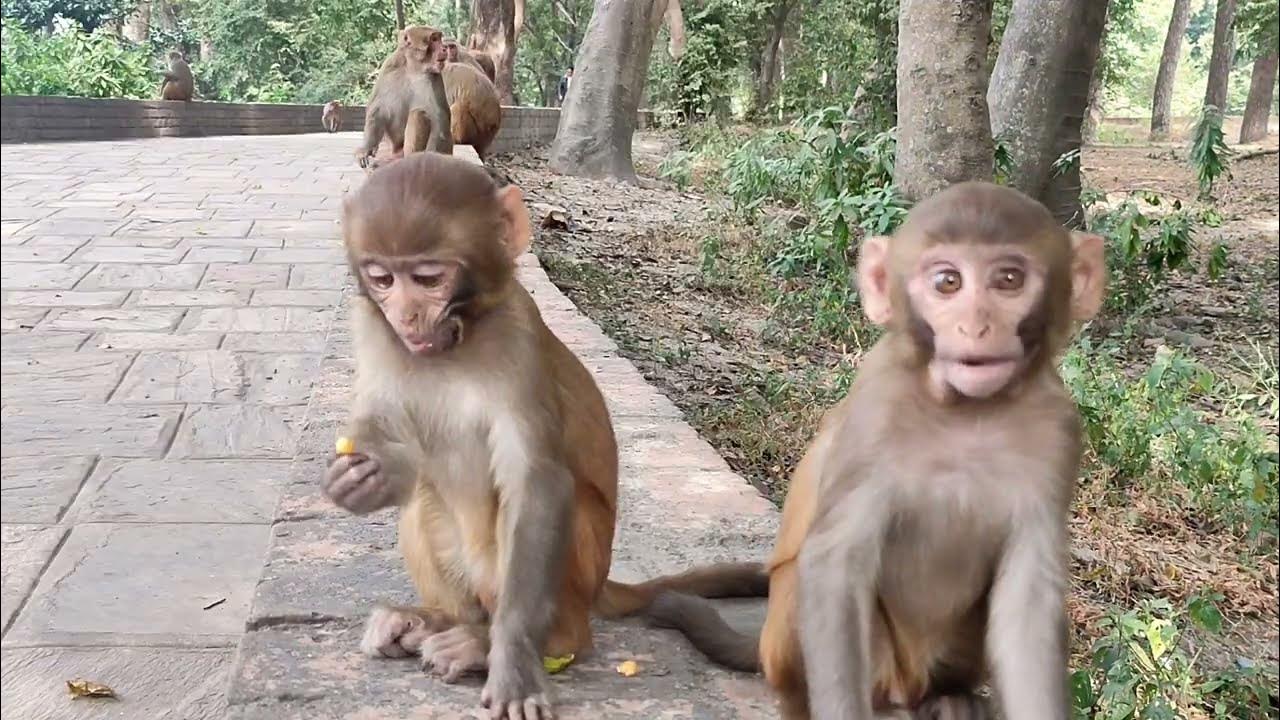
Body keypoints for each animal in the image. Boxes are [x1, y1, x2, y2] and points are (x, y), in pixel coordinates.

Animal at [322, 152, 770, 719]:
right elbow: (391, 446)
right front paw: (357, 481)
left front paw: (513, 660)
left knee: (559, 517)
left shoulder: (518, 339)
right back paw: (438, 620)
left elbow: (536, 483)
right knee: (425, 499)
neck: (459, 340)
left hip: (566, 572)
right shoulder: (372, 327)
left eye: (427, 278)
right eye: (382, 278)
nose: (405, 314)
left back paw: (519, 642)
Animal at [357, 25, 453, 169]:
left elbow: (440, 120)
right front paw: (365, 149)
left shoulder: (435, 80)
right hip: (396, 148)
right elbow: (378, 109)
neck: (413, 69)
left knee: (418, 114)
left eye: (439, 39)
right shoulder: (389, 68)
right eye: (434, 39)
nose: (444, 48)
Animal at [644, 182, 1107, 720]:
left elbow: (1028, 598)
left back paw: (950, 697)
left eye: (1008, 280)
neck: (965, 413)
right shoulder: (875, 410)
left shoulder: (1058, 428)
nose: (976, 326)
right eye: (948, 282)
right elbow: (835, 564)